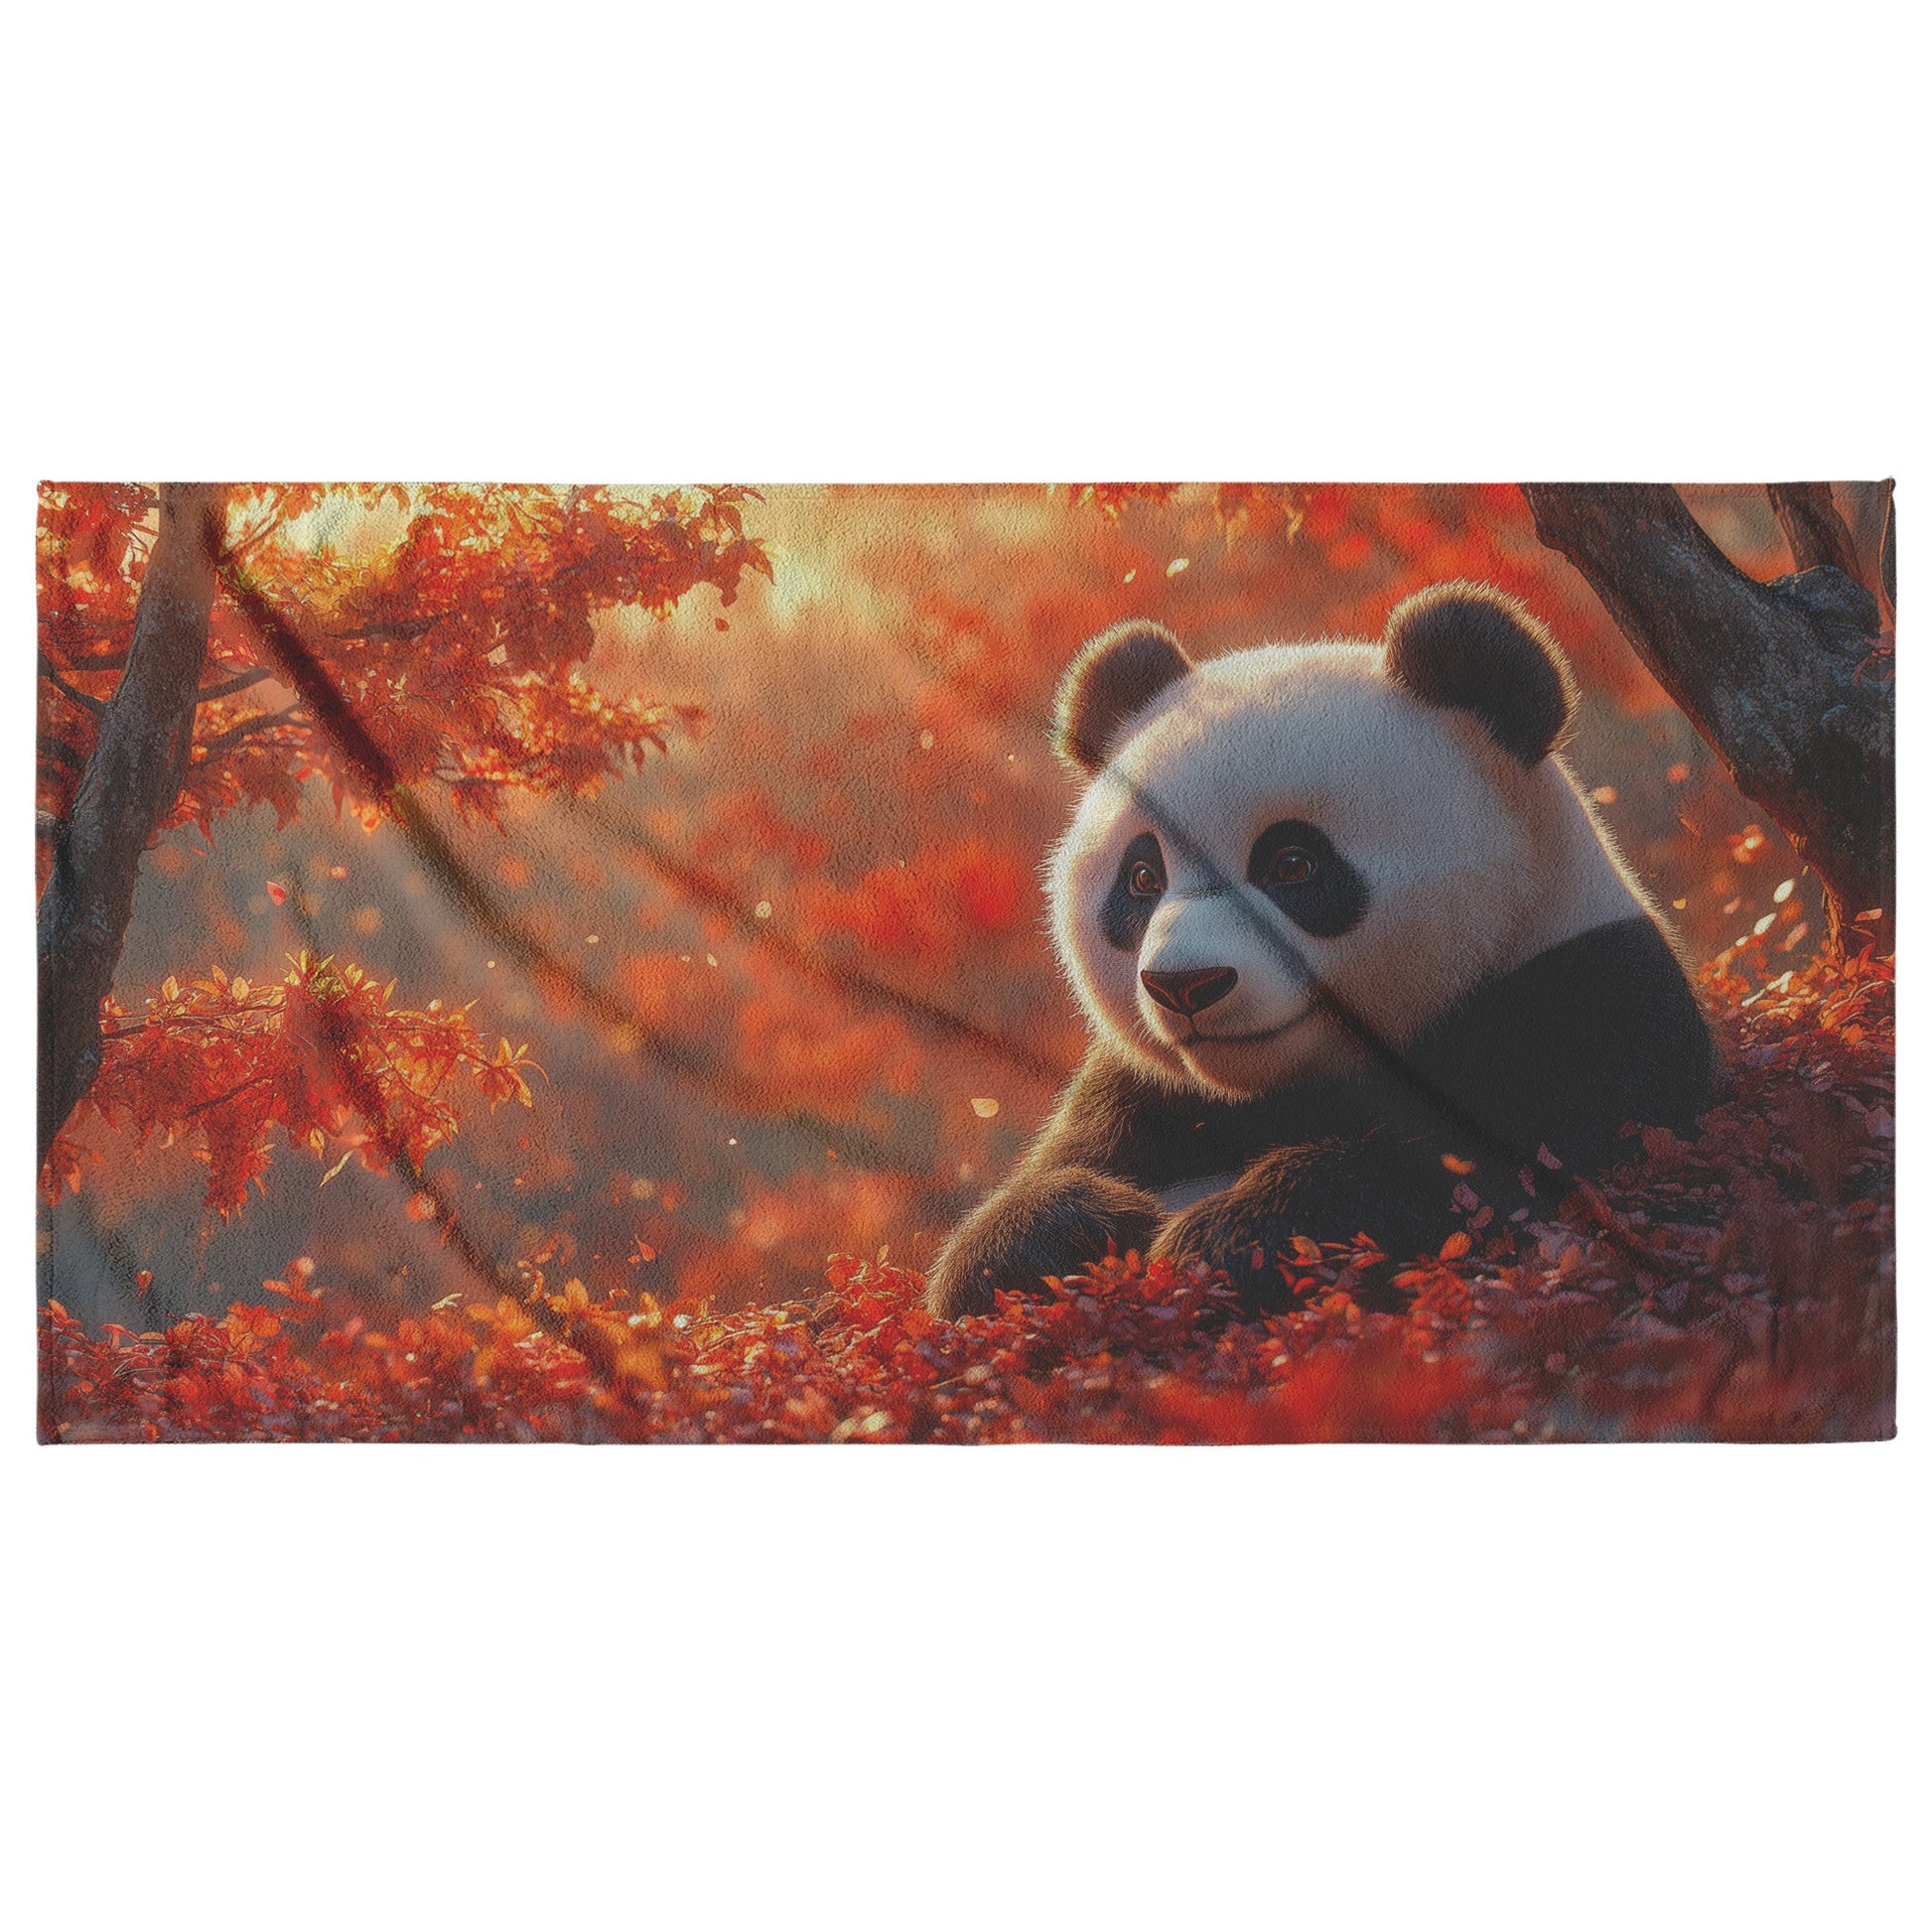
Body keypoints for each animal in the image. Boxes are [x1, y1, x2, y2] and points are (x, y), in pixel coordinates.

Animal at [924, 581, 1715, 1321]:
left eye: (1293, 865)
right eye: (1143, 878)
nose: (1185, 985)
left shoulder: (1583, 1002)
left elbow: (1476, 1176)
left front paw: (1225, 1239)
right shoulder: (1143, 1094)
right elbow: (1031, 1196)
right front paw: (1068, 1233)